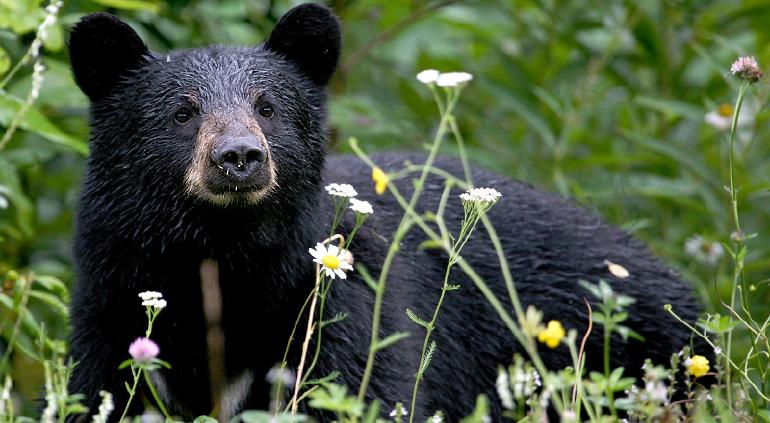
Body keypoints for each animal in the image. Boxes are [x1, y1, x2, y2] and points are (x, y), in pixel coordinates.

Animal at [66, 3, 702, 421]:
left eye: (268, 108)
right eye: (182, 112)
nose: (240, 157)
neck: (224, 256)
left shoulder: (339, 305)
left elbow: (361, 387)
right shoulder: (112, 297)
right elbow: (99, 392)